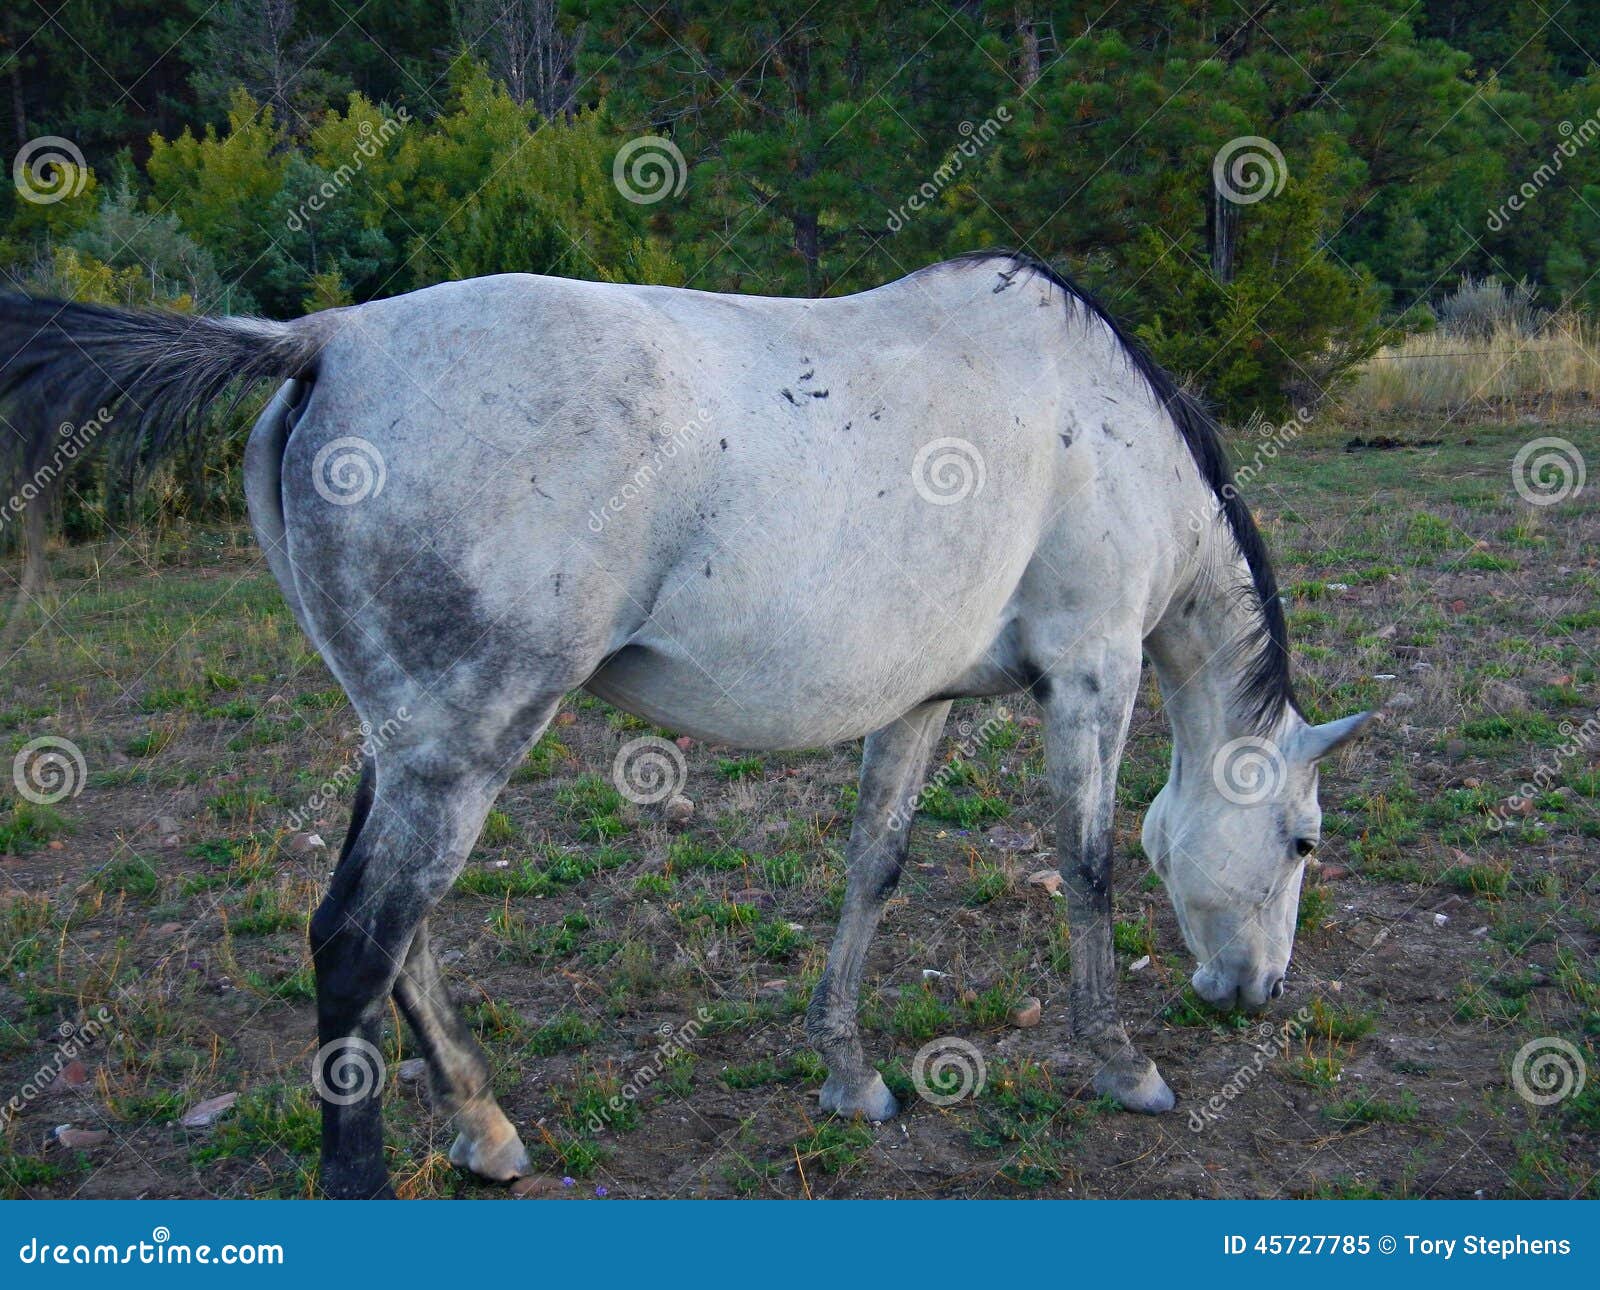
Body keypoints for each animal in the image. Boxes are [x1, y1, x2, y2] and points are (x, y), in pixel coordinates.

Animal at [0, 252, 1371, 1197]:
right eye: (1302, 841)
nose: (1253, 993)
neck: (1104, 425)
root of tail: (325, 341)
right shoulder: (1092, 676)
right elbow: (1085, 869)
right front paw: (1123, 1065)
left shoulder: (920, 703)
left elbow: (873, 868)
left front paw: (848, 1074)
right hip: (466, 740)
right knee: (355, 940)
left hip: (412, 745)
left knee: (402, 937)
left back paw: (484, 1130)